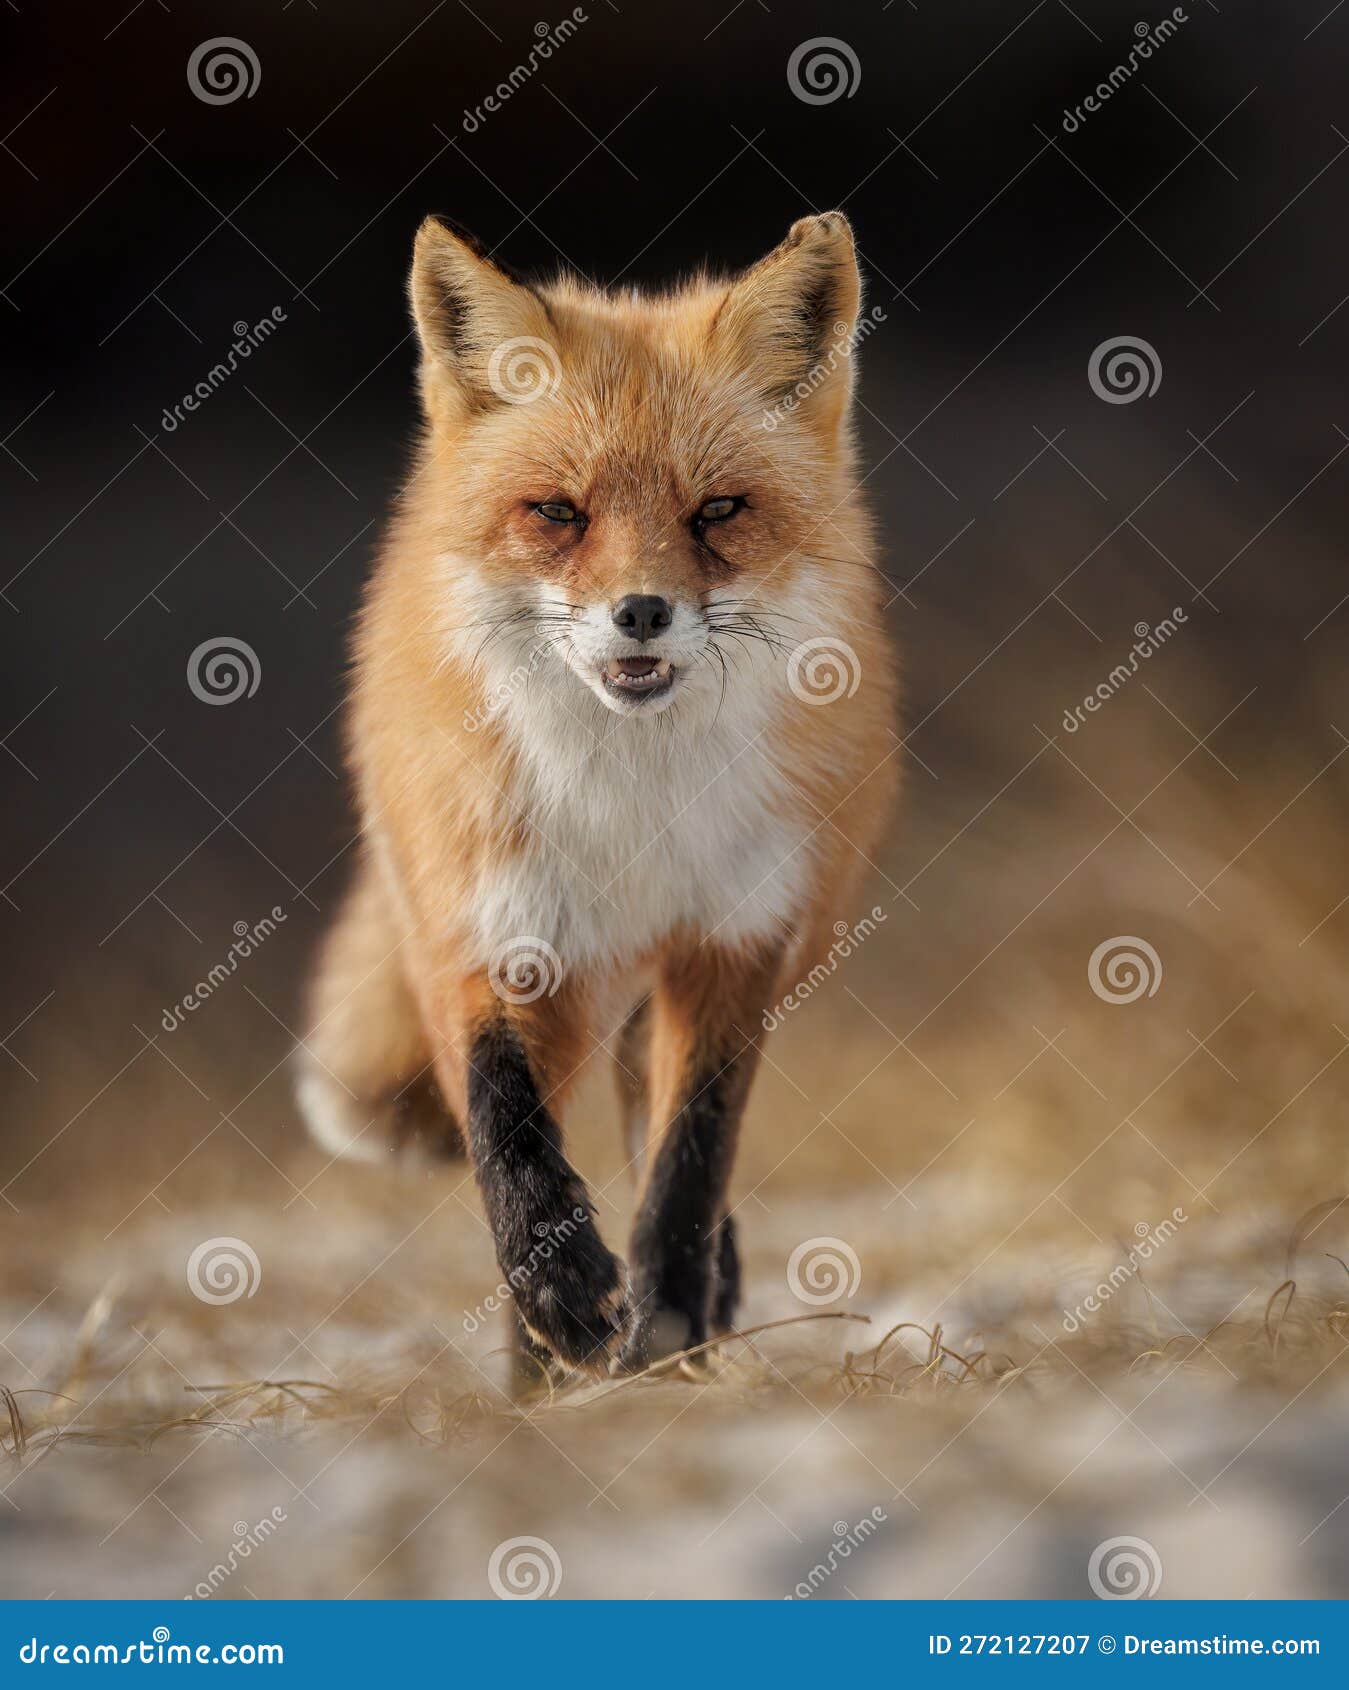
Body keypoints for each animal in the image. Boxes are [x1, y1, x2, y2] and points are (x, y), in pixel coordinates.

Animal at [295, 209, 899, 1378]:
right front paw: (564, 1302)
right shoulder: (487, 931)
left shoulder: (733, 942)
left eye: (717, 511)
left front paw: (666, 1324)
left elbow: (689, 1158)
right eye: (558, 514)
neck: (631, 807)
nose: (641, 612)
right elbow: (504, 1130)